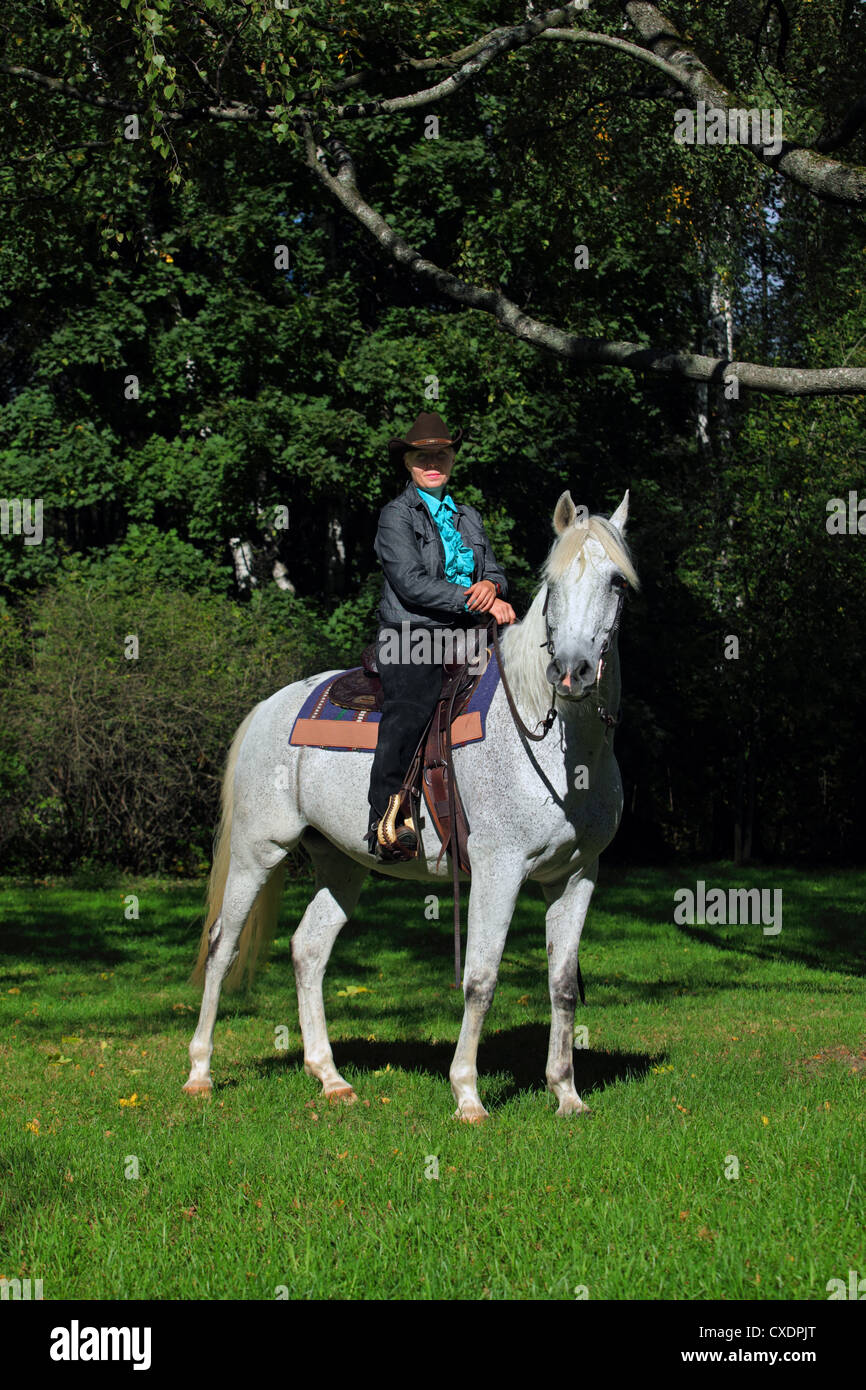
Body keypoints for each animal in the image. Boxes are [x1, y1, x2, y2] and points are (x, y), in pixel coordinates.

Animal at [185, 489, 638, 1121]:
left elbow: (563, 985)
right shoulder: (499, 869)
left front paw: (566, 1094)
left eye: (616, 581)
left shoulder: (575, 876)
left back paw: (330, 1077)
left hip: (341, 864)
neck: (556, 744)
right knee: (222, 947)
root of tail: (269, 707)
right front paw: (468, 1095)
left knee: (308, 949)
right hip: (259, 851)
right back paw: (199, 1072)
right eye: (552, 581)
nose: (570, 671)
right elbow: (481, 978)